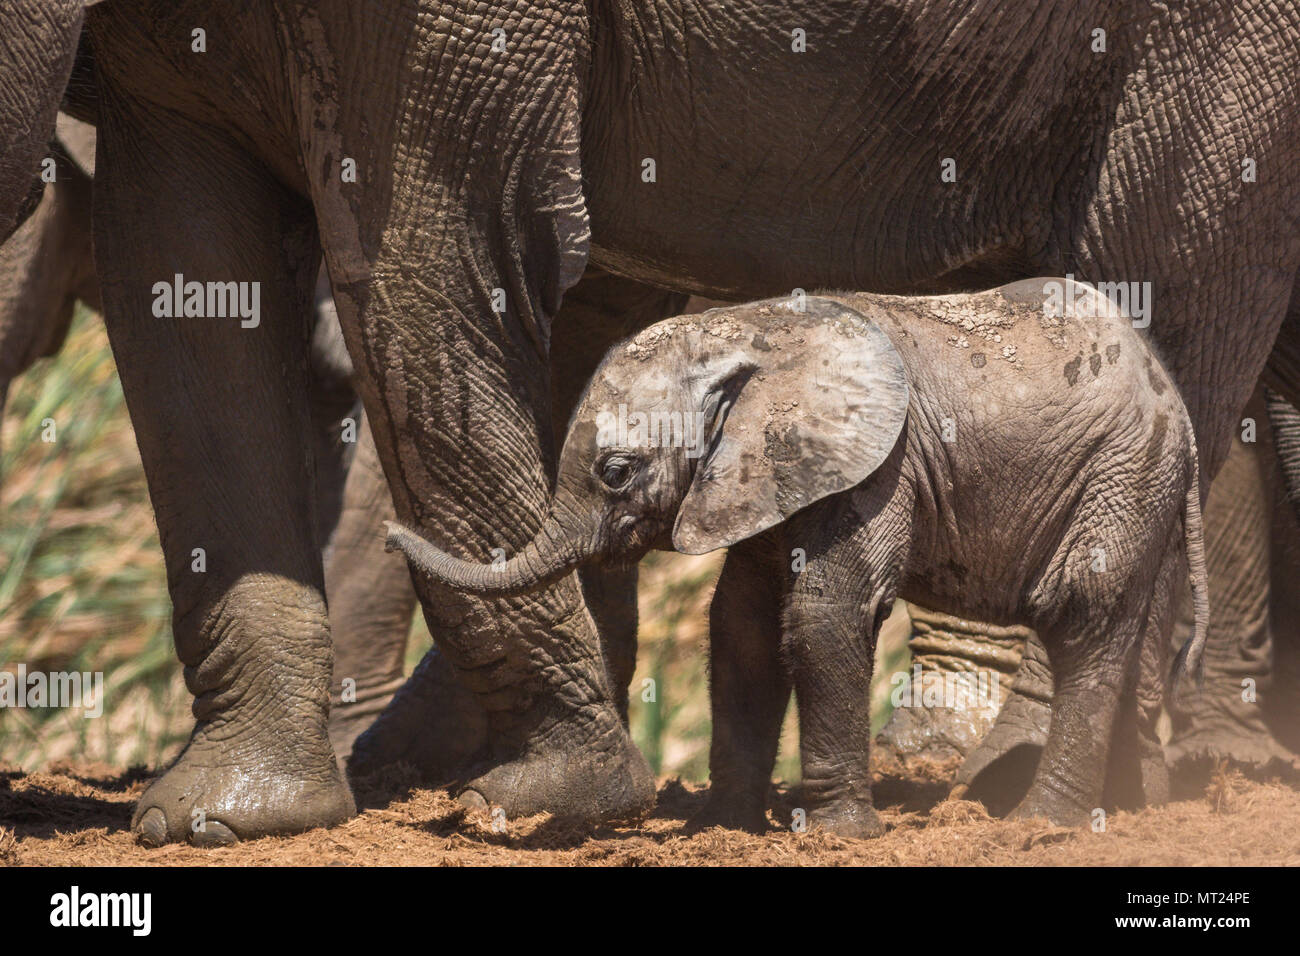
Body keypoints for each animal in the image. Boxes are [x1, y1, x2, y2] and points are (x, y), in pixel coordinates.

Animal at [385, 282, 1210, 831]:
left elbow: (824, 613)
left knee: (1082, 617)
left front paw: (840, 837)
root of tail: (1170, 389)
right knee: (1137, 631)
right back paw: (1139, 812)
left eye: (615, 472)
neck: (751, 330)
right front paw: (725, 827)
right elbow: (742, 622)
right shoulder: (762, 474)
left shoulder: (878, 467)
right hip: (1147, 485)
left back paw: (1041, 827)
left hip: (1121, 469)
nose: (392, 531)